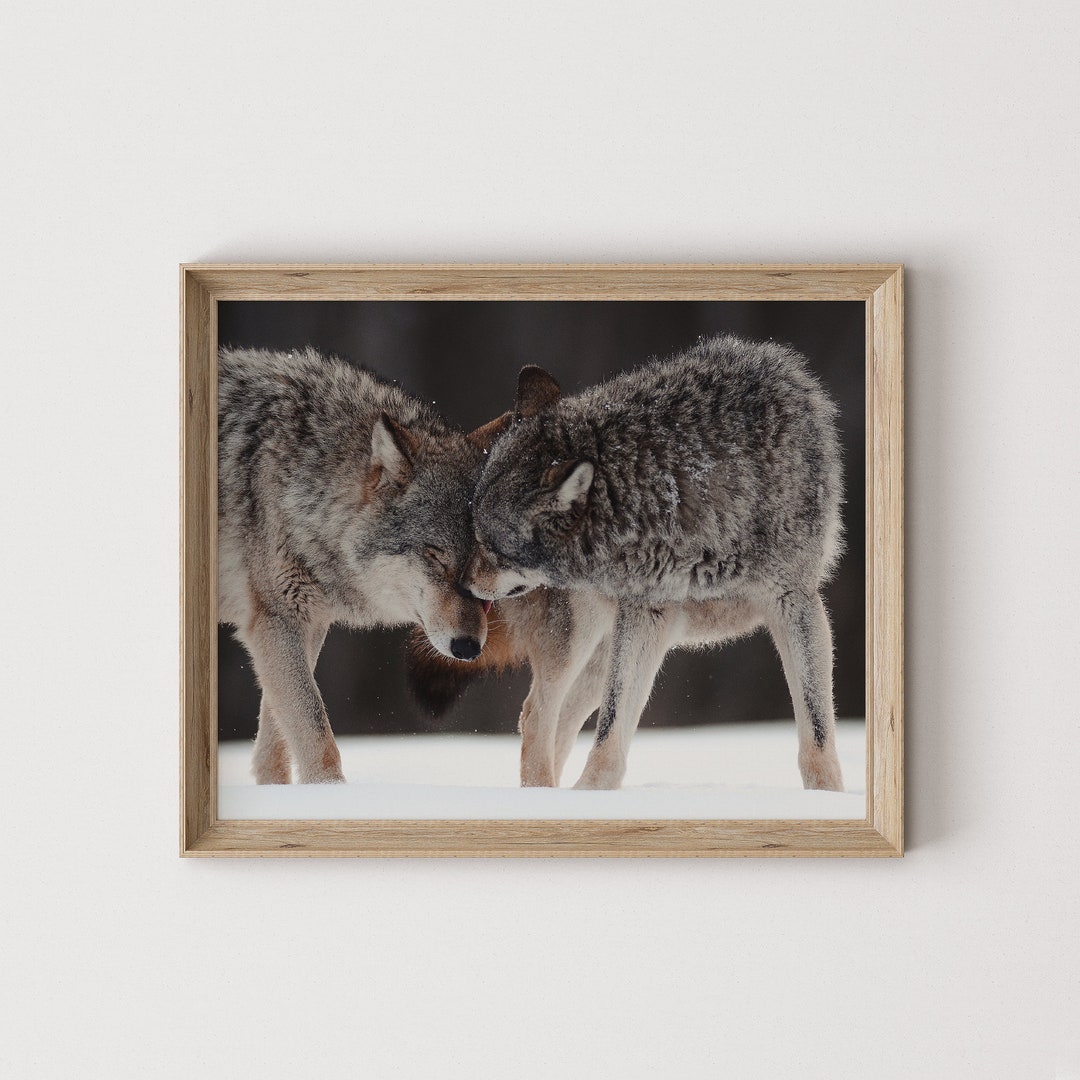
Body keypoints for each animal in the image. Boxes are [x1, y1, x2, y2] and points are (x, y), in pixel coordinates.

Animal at [218, 345, 509, 784]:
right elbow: (315, 734)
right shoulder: (276, 620)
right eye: (436, 557)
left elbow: (276, 739)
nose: (468, 648)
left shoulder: (305, 624)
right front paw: (329, 793)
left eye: (487, 572)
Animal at [458, 335, 846, 791]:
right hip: (582, 639)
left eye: (490, 544)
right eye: (474, 534)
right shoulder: (647, 613)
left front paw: (828, 797)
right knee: (536, 714)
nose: (462, 583)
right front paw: (590, 796)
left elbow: (816, 730)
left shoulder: (795, 603)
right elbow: (610, 732)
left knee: (557, 718)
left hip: (602, 650)